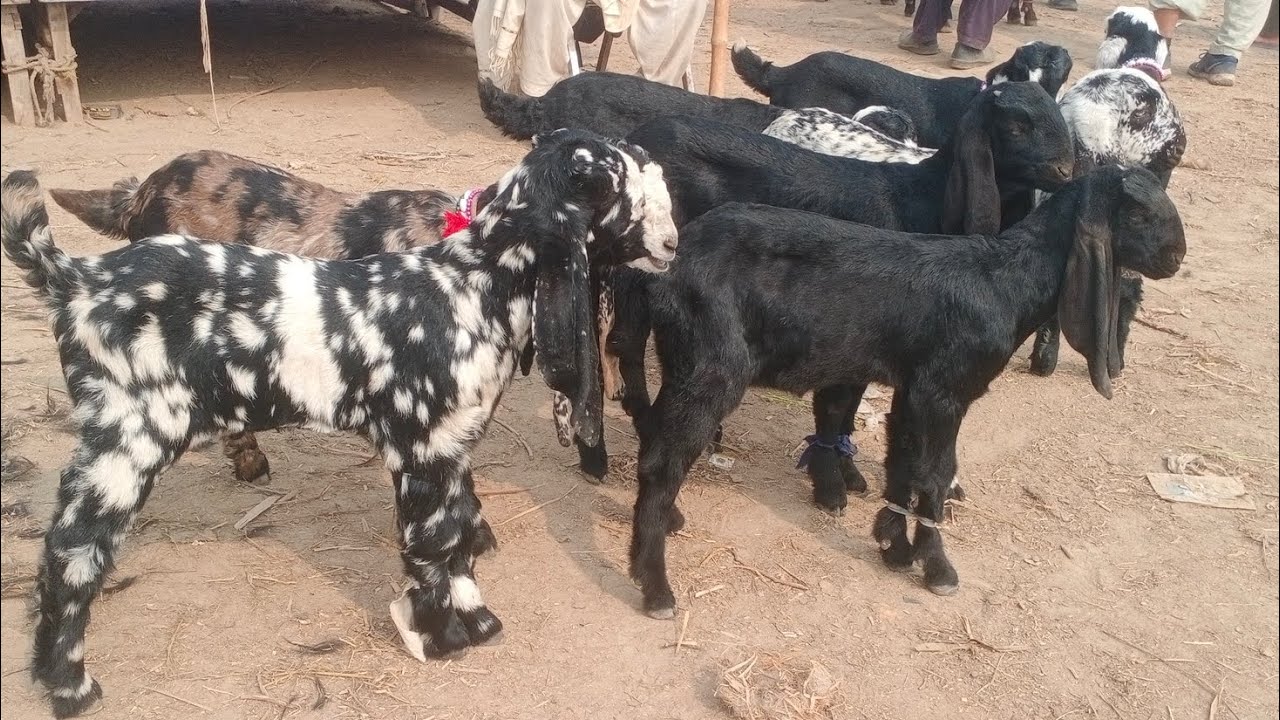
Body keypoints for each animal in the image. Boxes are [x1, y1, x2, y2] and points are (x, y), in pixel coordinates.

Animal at [612, 82, 1074, 514]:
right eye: (1016, 125)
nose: (1066, 169)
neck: (924, 195)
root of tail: (638, 139)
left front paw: (851, 474)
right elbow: (837, 403)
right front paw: (832, 485)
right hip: (643, 264)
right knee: (627, 341)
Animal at [616, 166, 1185, 618]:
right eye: (1138, 214)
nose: (1177, 255)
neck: (1003, 280)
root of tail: (663, 268)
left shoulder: (913, 388)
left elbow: (902, 464)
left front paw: (894, 546)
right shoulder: (944, 389)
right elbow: (934, 475)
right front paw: (938, 568)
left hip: (682, 362)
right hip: (710, 366)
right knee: (662, 463)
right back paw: (657, 588)